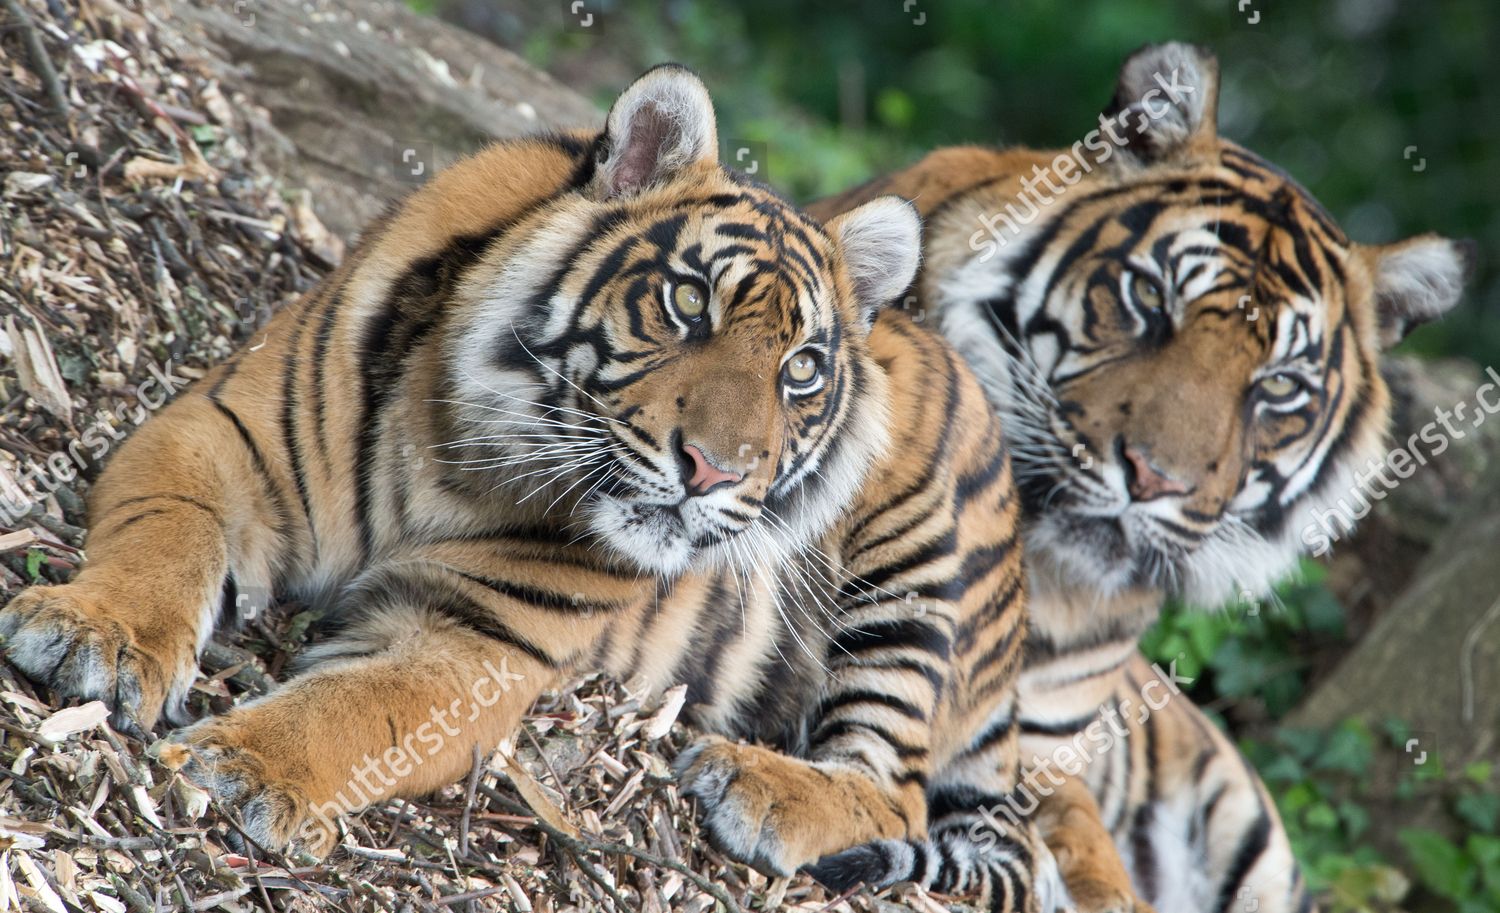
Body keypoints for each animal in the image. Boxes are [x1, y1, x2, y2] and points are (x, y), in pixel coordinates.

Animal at [0, 65, 1065, 909]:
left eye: (800, 370)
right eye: (687, 302)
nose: (716, 469)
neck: (453, 451)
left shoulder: (479, 643)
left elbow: (352, 711)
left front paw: (241, 769)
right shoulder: (218, 432)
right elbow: (166, 539)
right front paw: (96, 636)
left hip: (914, 584)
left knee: (898, 790)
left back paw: (755, 787)